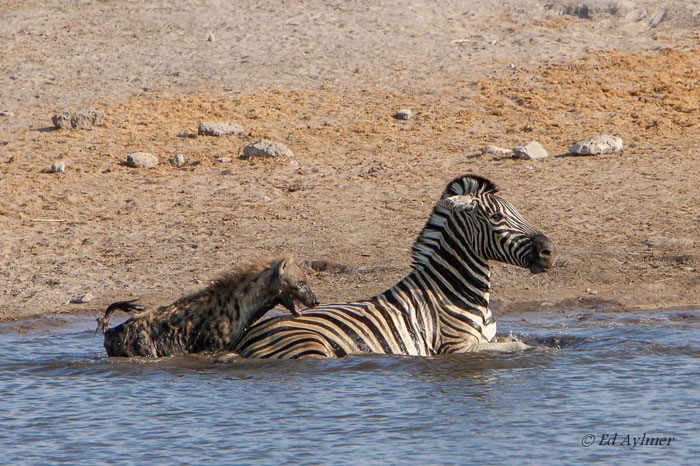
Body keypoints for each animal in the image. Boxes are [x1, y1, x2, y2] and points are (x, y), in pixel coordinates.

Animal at [236, 174, 555, 359]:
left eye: (518, 212)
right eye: (496, 218)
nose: (549, 252)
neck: (453, 290)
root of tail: (241, 339)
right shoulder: (456, 347)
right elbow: (519, 346)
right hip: (310, 348)